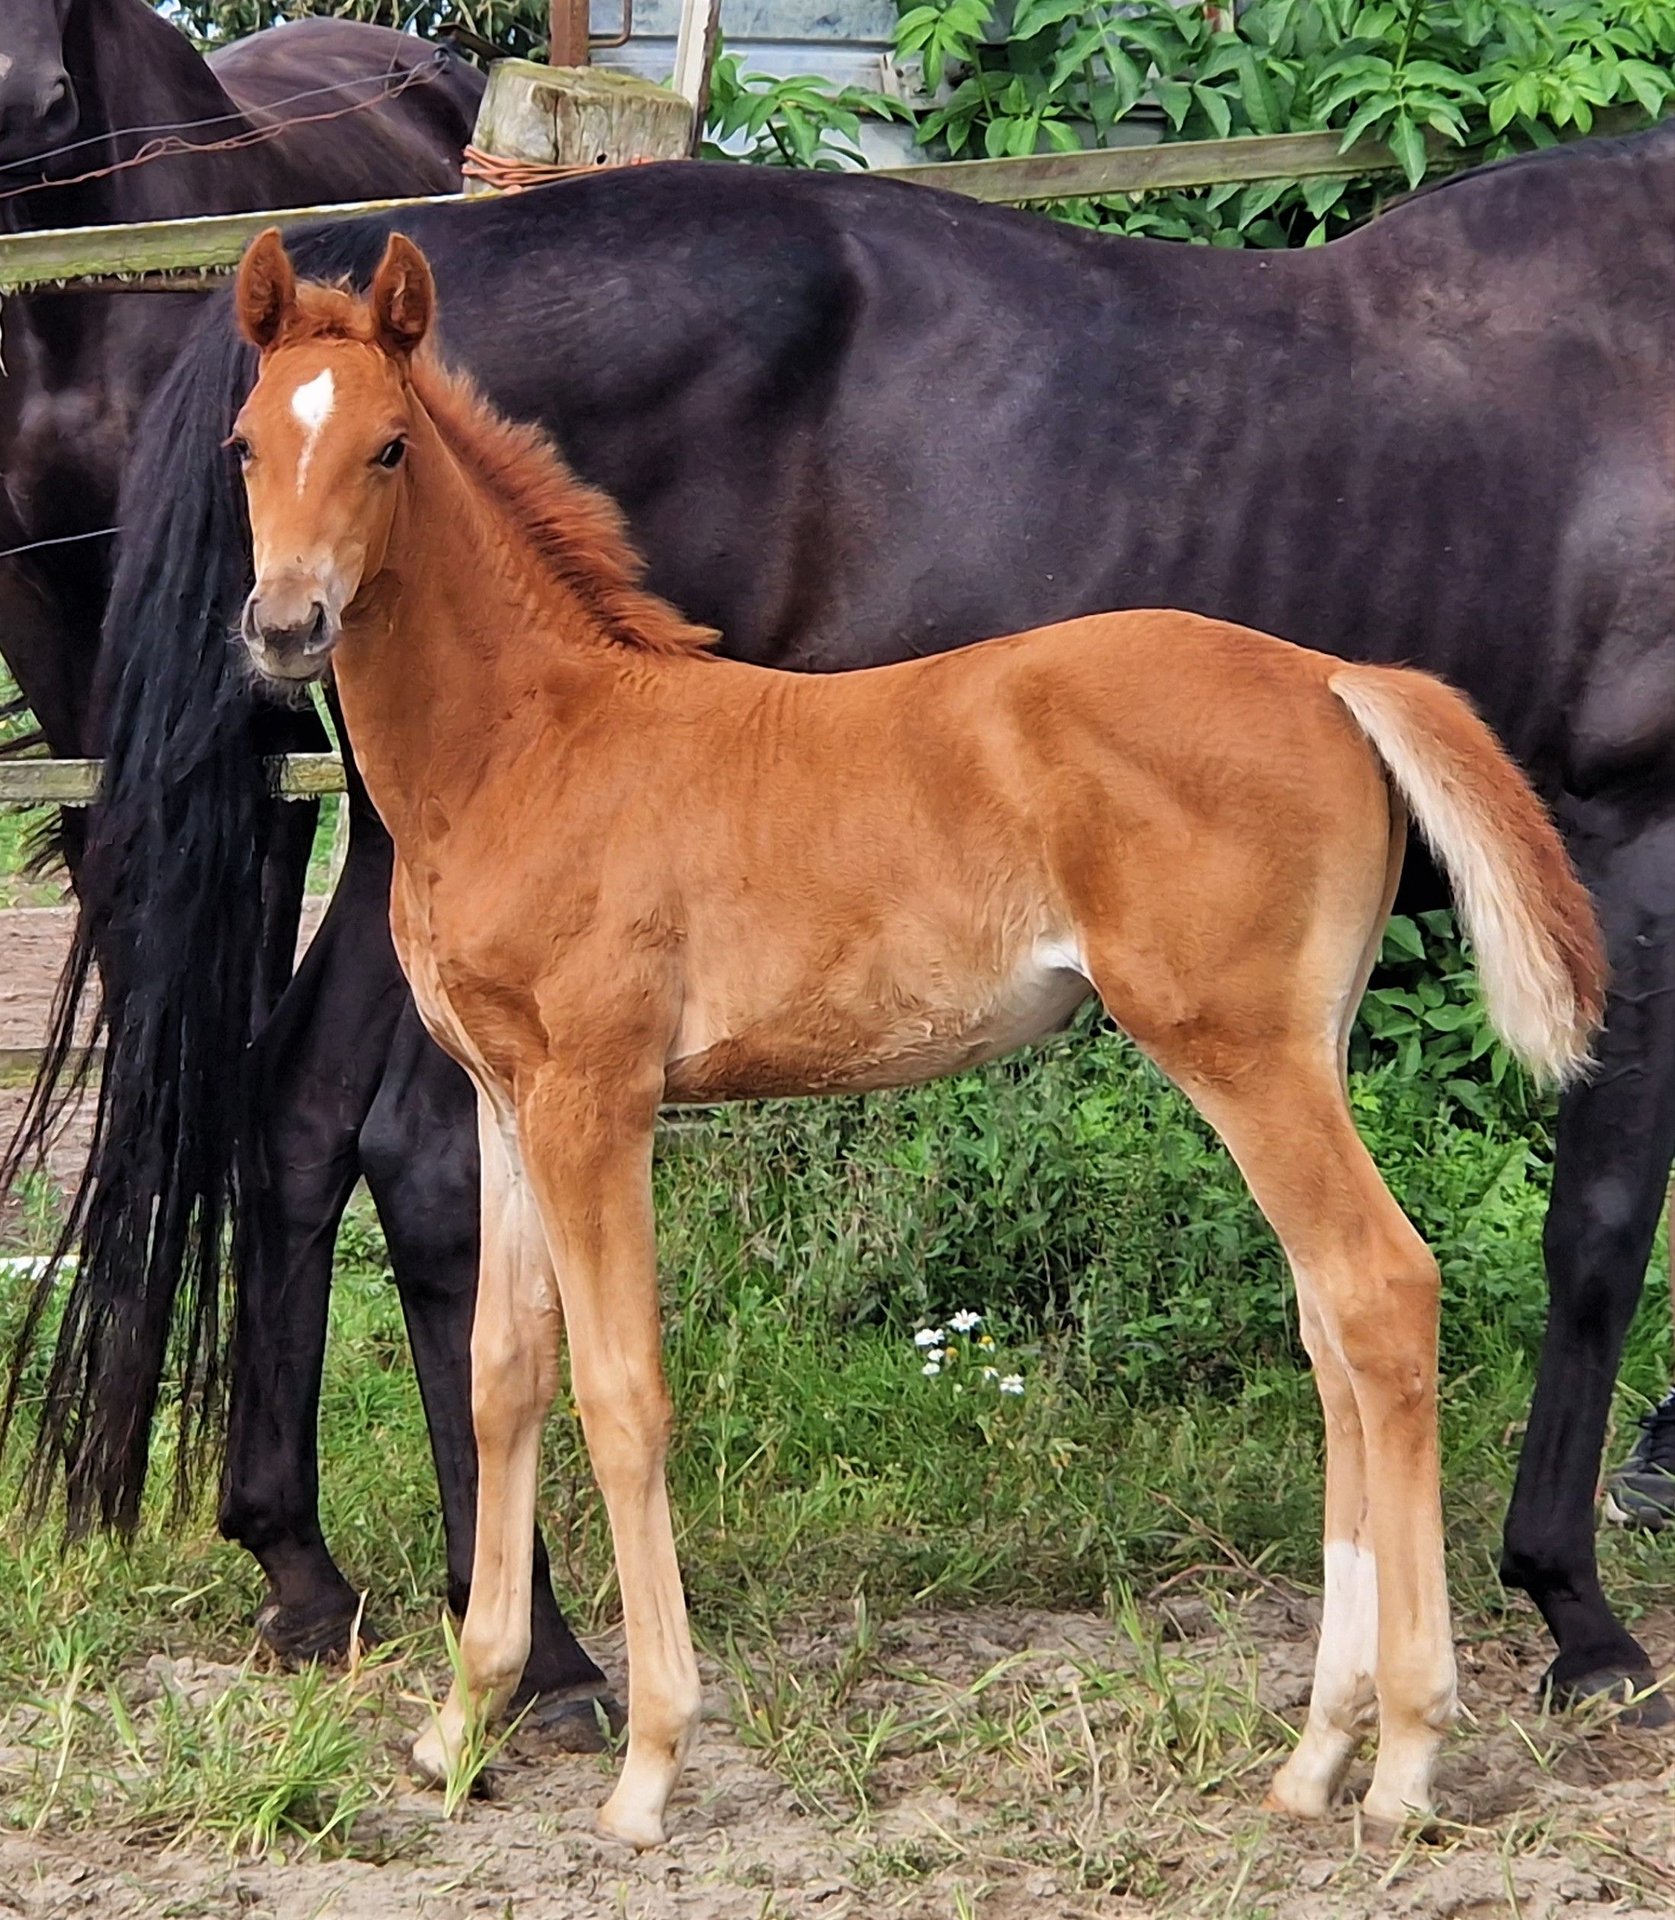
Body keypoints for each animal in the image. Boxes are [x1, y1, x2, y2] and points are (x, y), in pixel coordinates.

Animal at [12, 134, 1675, 1741]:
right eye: (249, 452)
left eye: (387, 447)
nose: (283, 623)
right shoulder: (1636, 839)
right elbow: (1600, 1227)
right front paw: (1579, 1610)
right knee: (397, 1159)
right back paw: (528, 1651)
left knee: (302, 1114)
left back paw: (328, 1580)